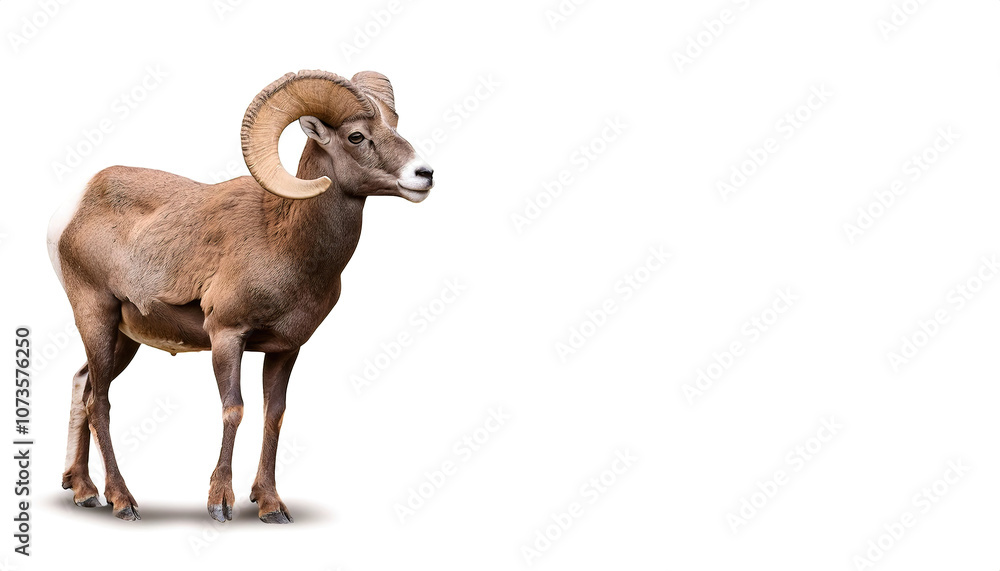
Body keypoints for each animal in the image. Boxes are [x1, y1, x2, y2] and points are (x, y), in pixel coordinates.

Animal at [46, 70, 434, 523]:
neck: (285, 242)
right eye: (357, 136)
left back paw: (83, 491)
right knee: (99, 403)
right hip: (96, 317)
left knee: (84, 385)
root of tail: (71, 210)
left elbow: (273, 415)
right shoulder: (227, 336)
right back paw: (122, 501)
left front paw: (270, 506)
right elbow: (234, 409)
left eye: (394, 126)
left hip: (125, 337)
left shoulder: (285, 349)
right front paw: (220, 504)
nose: (425, 174)